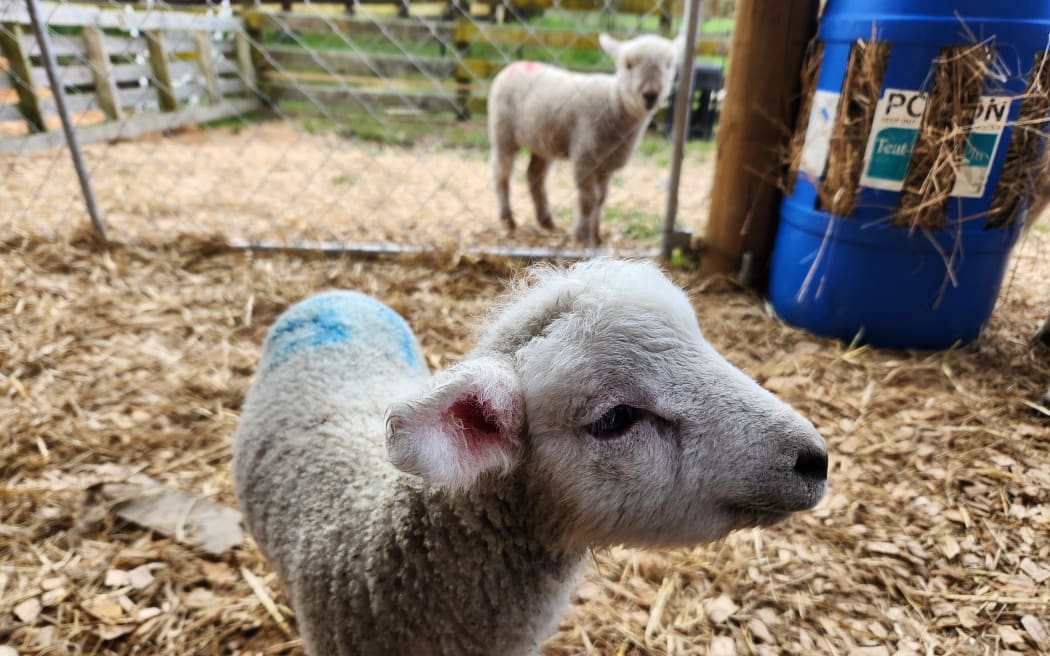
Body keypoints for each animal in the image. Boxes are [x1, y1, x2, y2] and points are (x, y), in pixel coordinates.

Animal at [488, 33, 685, 246]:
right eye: (628, 65)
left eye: (669, 65)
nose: (650, 95)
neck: (614, 102)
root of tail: (514, 65)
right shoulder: (585, 158)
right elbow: (588, 201)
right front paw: (581, 237)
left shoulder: (606, 165)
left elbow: (600, 199)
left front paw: (596, 237)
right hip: (503, 131)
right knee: (501, 172)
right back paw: (507, 219)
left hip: (542, 140)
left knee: (534, 175)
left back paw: (546, 221)